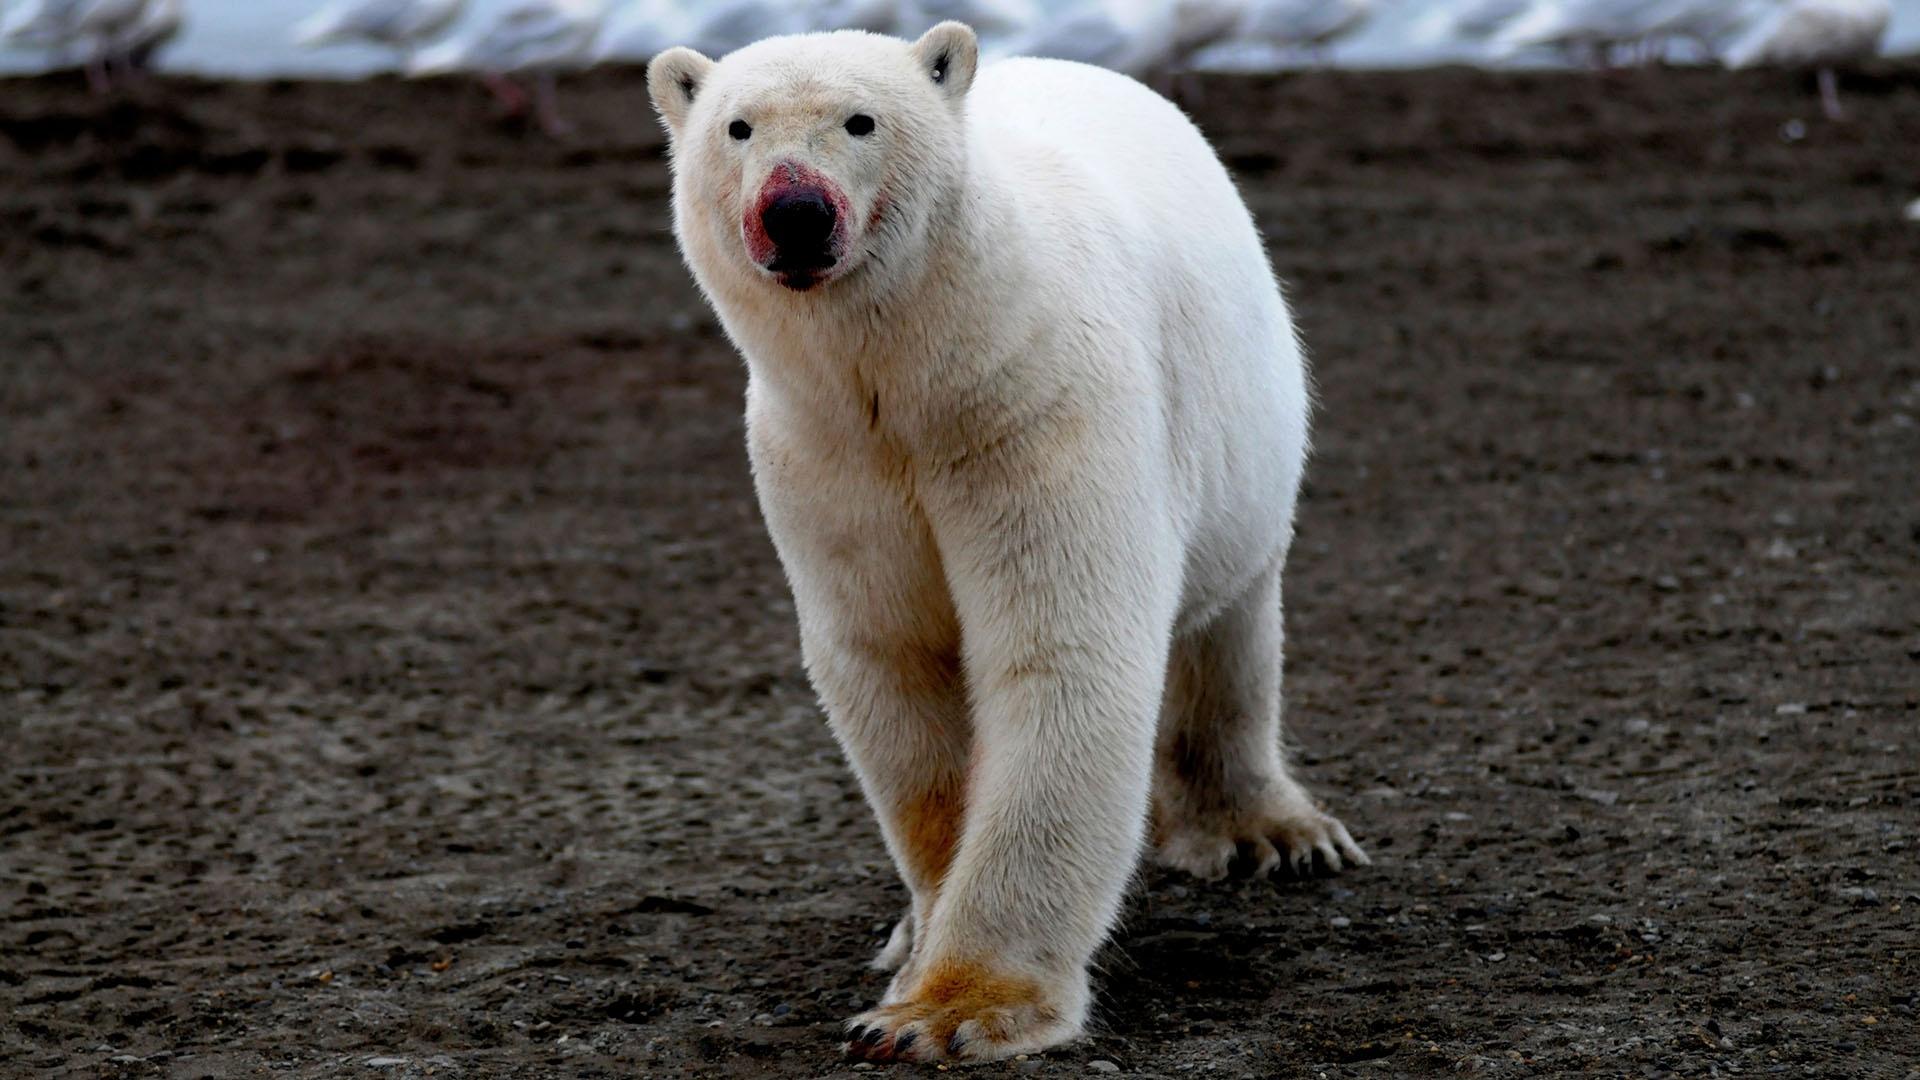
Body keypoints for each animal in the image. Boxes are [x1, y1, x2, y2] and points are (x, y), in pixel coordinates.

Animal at [646, 23, 1369, 1062]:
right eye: (738, 127)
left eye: (860, 121)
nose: (794, 212)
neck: (919, 373)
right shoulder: (828, 460)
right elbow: (891, 658)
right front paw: (917, 952)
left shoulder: (1036, 405)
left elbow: (1058, 652)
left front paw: (944, 1013)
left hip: (1245, 434)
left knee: (1229, 622)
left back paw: (1270, 833)